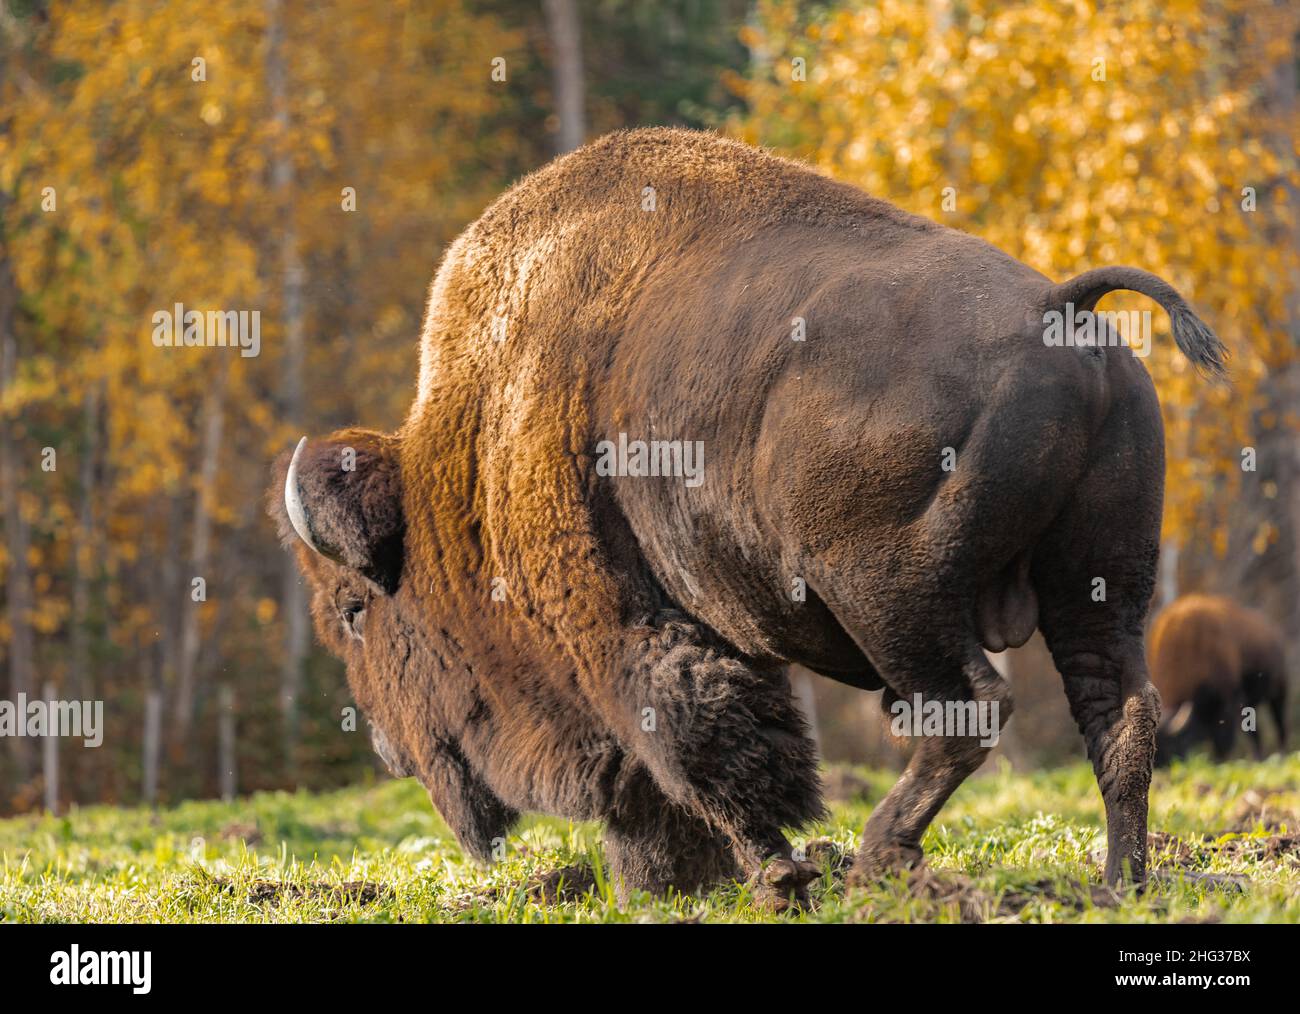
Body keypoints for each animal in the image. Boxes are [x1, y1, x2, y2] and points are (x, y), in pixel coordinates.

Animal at [269, 128, 1225, 906]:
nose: (386, 750)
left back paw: (880, 858)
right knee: (1117, 714)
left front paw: (774, 875)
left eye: (353, 612)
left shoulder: (625, 630)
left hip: (883, 591)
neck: (473, 453)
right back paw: (1121, 883)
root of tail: (1054, 307)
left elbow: (698, 749)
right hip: (1098, 584)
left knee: (968, 707)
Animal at [1150, 594, 1288, 762]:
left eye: (1172, 743)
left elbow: (1223, 740)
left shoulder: (1228, 702)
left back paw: (1280, 757)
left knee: (1280, 726)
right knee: (1256, 734)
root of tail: (1276, 636)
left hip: (1279, 694)